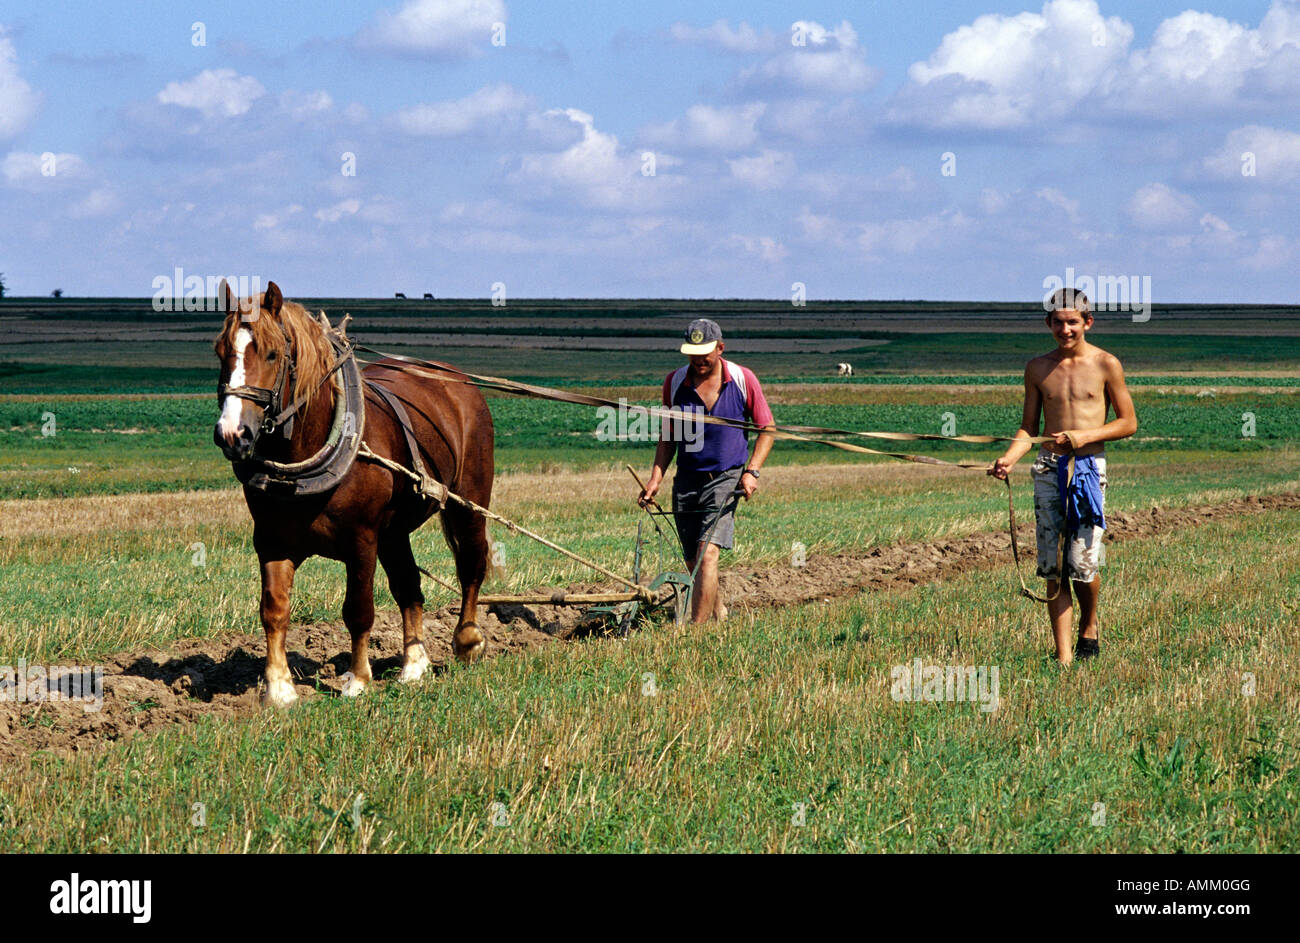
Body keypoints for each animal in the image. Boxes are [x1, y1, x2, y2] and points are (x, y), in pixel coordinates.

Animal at [212, 280, 494, 707]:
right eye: (220, 352)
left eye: (272, 353)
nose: (232, 434)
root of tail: (457, 382)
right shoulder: (271, 540)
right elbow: (274, 609)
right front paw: (278, 689)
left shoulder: (362, 540)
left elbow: (358, 609)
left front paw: (357, 680)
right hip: (394, 533)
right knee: (409, 587)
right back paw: (414, 666)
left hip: (469, 503)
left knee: (471, 567)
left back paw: (467, 640)